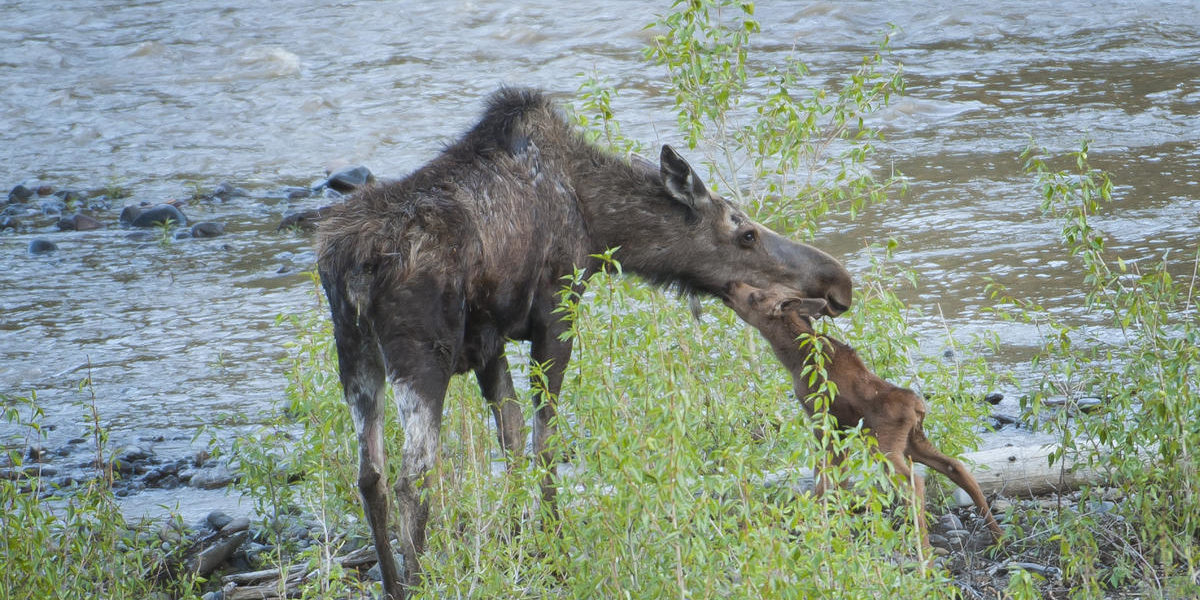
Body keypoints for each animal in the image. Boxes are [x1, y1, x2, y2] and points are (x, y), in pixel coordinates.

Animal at [314, 87, 849, 597]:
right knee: (414, 474)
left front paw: (520, 541)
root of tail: (352, 265)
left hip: (354, 352)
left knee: (370, 476)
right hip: (424, 355)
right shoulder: (557, 311)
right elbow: (544, 441)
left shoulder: (489, 342)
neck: (596, 220)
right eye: (746, 235)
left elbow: (511, 437)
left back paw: (391, 583)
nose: (837, 282)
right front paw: (554, 550)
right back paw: (416, 583)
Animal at [720, 280, 1003, 549]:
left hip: (885, 446)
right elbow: (839, 480)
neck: (792, 357)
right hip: (913, 442)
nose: (731, 286)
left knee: (914, 484)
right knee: (957, 467)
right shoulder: (842, 429)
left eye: (755, 297)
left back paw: (925, 553)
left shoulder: (820, 418)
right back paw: (997, 535)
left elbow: (822, 478)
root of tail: (918, 407)